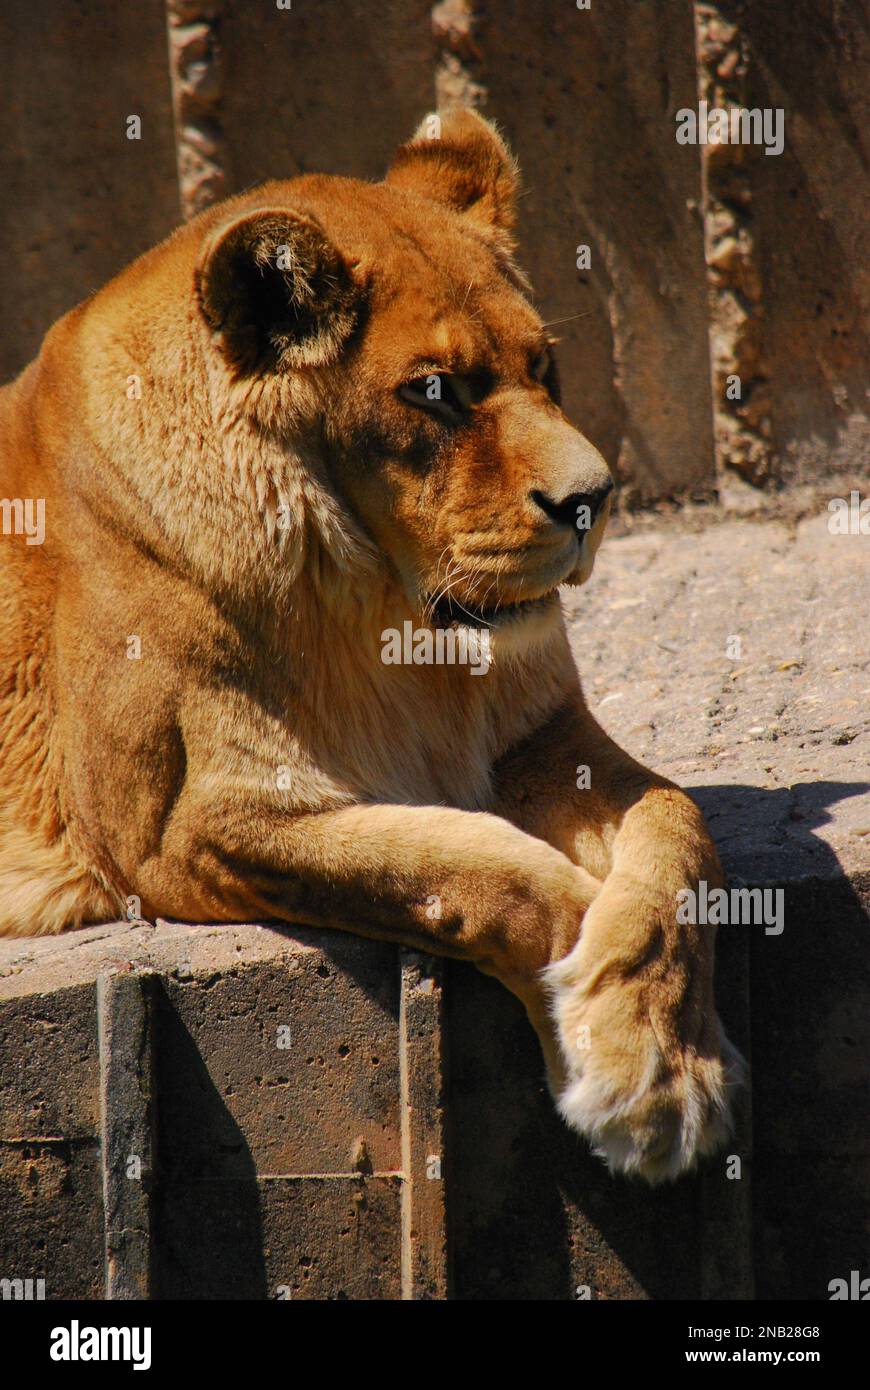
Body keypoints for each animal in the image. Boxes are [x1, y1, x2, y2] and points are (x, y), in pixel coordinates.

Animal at [0, 109, 742, 1182]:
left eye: (543, 368)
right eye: (433, 391)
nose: (593, 500)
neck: (389, 622)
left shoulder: (541, 739)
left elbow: (679, 830)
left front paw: (660, 1055)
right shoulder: (178, 828)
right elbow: (467, 870)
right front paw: (609, 1036)